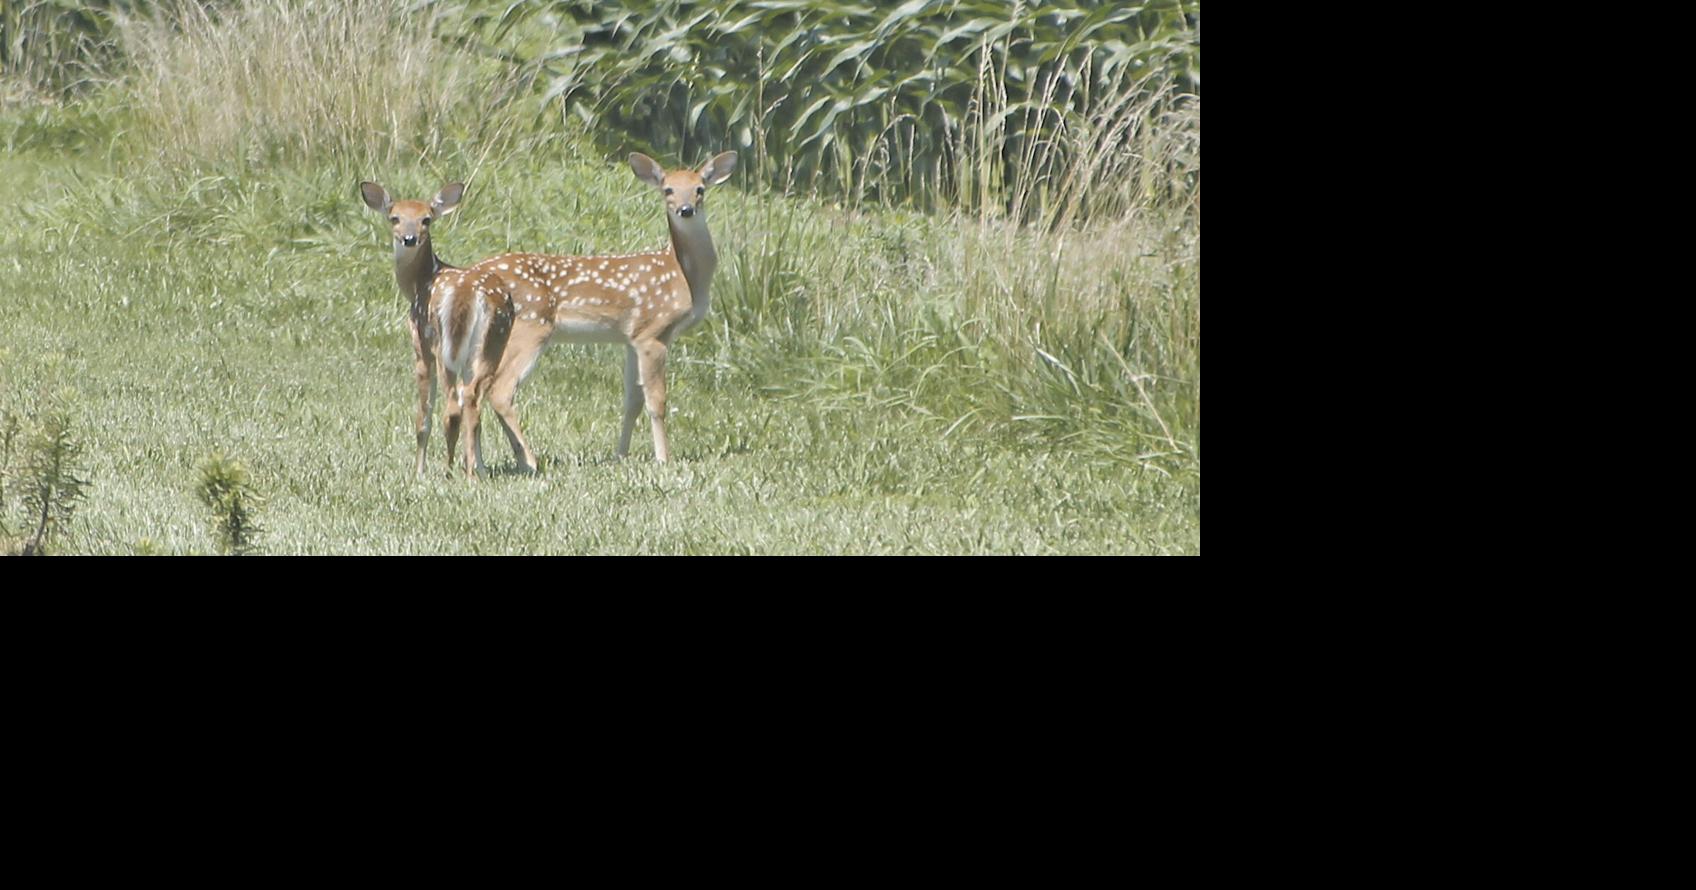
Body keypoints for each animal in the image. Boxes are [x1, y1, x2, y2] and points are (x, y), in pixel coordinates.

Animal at [359, 180, 465, 477]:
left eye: (426, 219)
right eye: (394, 218)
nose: (409, 238)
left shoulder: (421, 342)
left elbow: (423, 417)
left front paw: (418, 471)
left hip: (444, 348)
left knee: (452, 409)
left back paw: (447, 470)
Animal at [428, 151, 737, 479]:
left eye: (699, 188)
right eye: (668, 189)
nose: (685, 209)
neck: (682, 274)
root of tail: (469, 280)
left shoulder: (632, 338)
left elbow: (632, 401)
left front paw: (620, 455)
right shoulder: (653, 332)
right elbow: (657, 401)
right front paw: (663, 458)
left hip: (482, 339)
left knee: (469, 390)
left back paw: (480, 465)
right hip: (529, 328)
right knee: (498, 390)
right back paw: (527, 461)